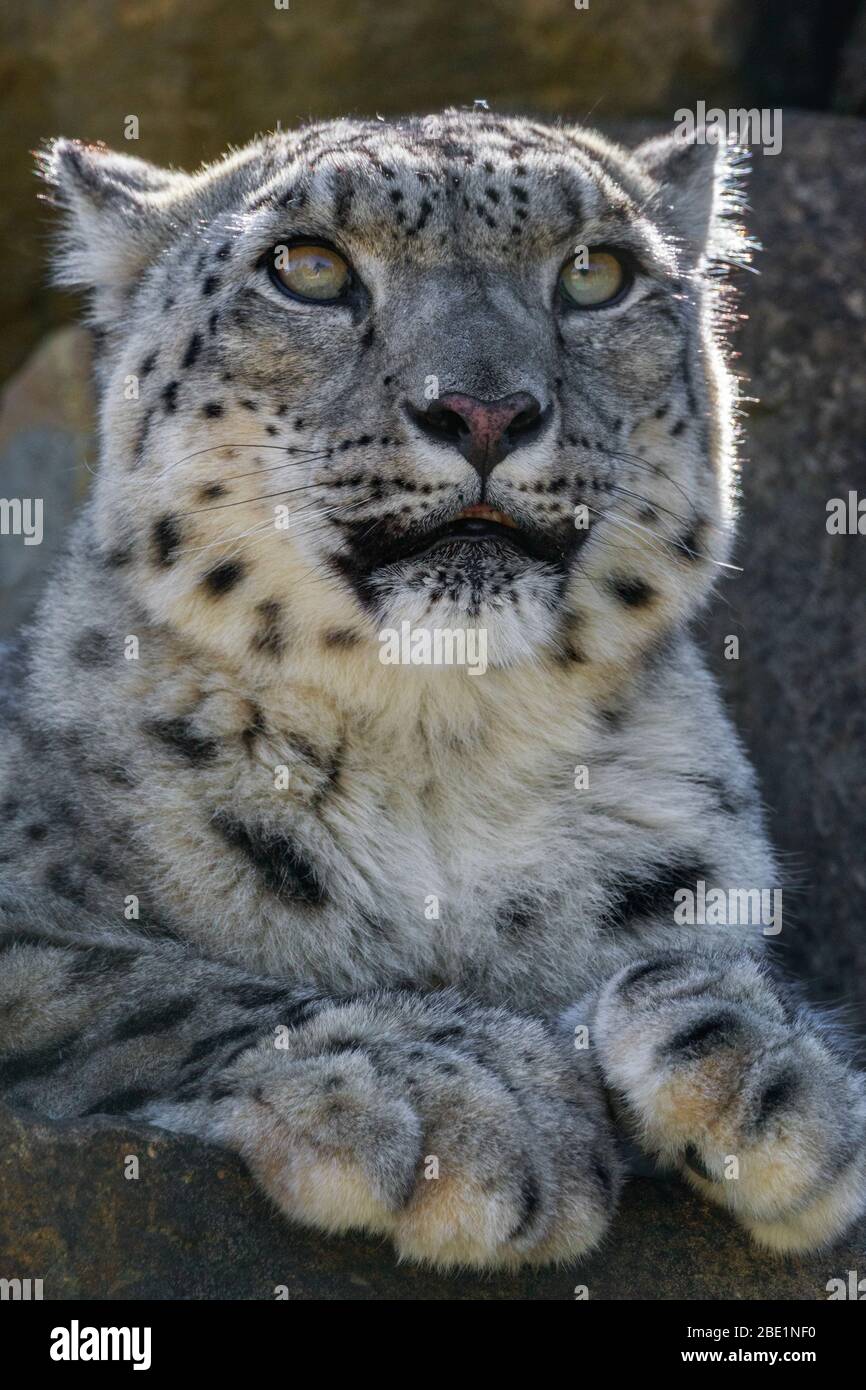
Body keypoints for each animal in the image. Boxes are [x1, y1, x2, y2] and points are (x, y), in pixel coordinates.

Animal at [0, 110, 863, 1272]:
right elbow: (125, 983)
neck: (441, 756)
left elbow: (697, 960)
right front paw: (472, 1092)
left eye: (595, 273)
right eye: (308, 266)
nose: (484, 409)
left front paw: (752, 1053)